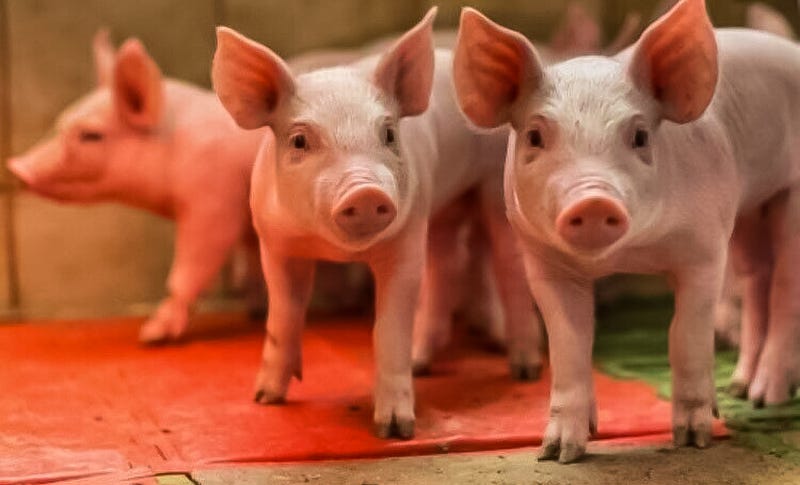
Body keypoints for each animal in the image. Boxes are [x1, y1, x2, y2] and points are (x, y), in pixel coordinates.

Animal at [7, 32, 266, 343]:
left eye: (91, 135)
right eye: (61, 121)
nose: (15, 167)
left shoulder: (214, 202)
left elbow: (192, 264)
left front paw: (151, 335)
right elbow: (255, 261)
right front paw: (256, 312)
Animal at [212, 8, 543, 438]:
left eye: (387, 133)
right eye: (299, 140)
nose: (365, 192)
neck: (336, 250)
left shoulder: (403, 242)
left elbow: (388, 329)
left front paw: (396, 431)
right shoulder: (276, 243)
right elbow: (283, 314)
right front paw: (266, 399)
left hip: (490, 186)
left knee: (508, 265)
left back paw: (524, 370)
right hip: (439, 207)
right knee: (445, 262)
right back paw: (422, 362)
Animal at [453, 0, 800, 462]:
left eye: (639, 135)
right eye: (535, 136)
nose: (593, 201)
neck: (629, 255)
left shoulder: (704, 249)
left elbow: (685, 336)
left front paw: (693, 440)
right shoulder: (544, 262)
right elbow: (570, 345)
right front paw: (560, 452)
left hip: (790, 195)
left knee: (786, 287)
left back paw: (765, 398)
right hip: (748, 210)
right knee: (758, 278)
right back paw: (741, 388)